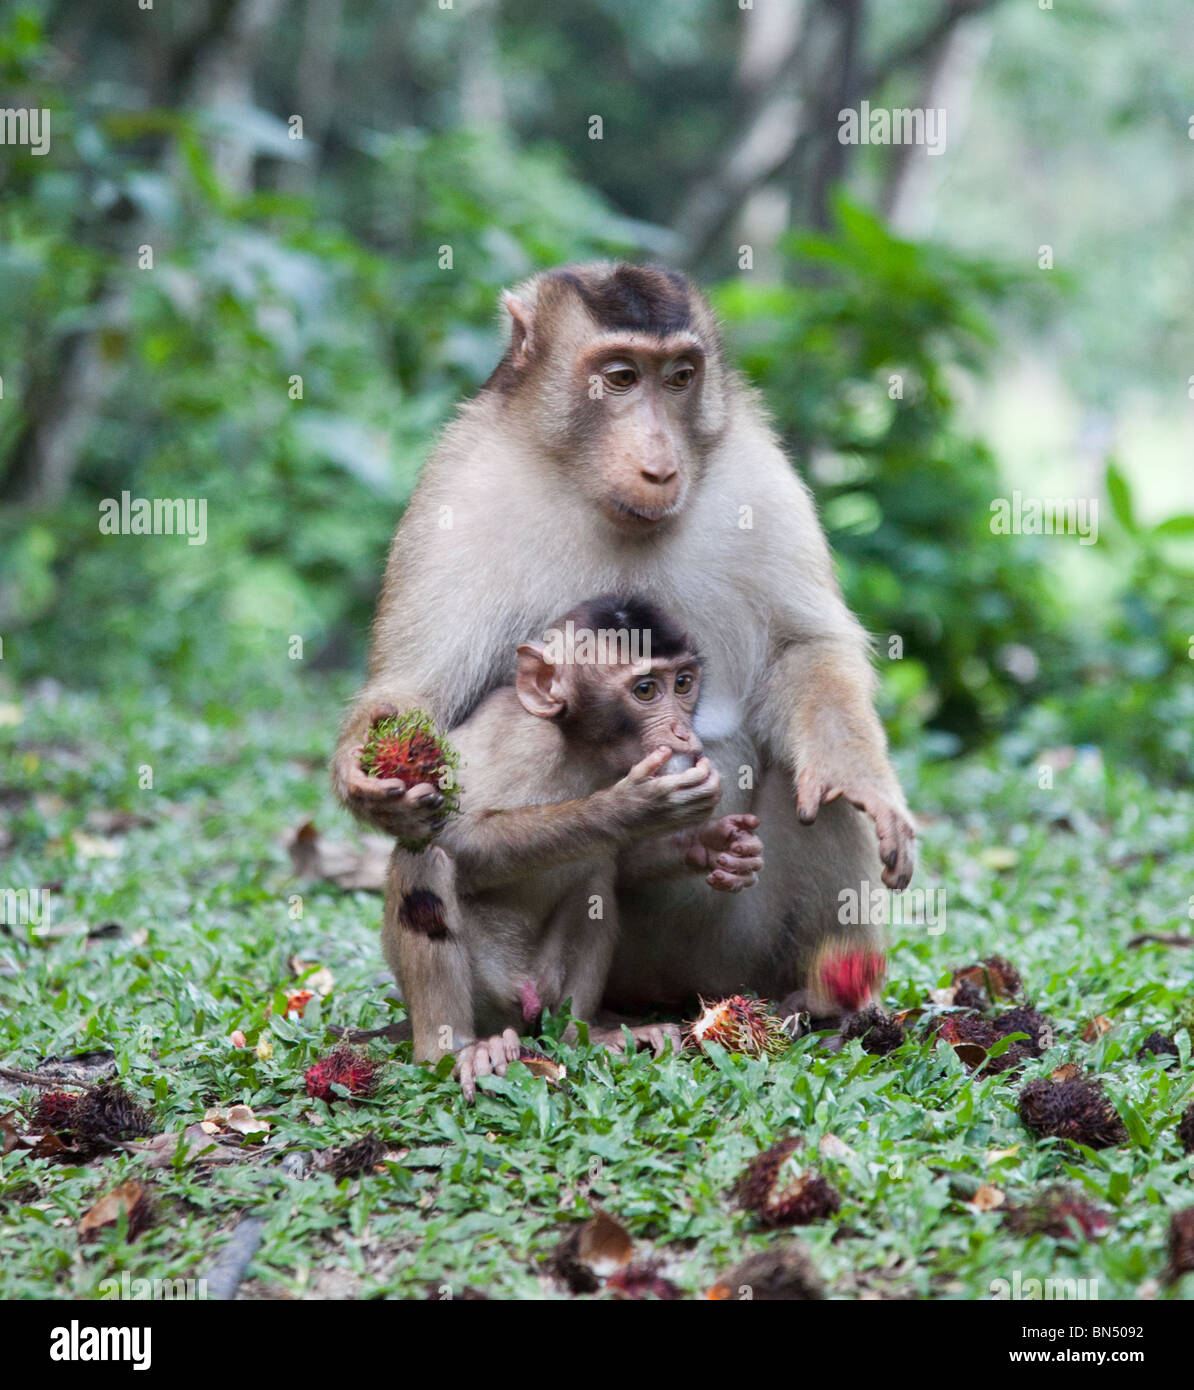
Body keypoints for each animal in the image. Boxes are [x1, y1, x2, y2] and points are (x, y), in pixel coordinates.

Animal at [334, 261, 915, 1024]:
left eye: (679, 378)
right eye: (619, 377)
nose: (661, 463)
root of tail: (679, 994)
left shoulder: (758, 475)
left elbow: (804, 649)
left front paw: (856, 773)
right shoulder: (457, 488)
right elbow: (416, 689)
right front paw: (367, 775)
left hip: (740, 952)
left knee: (812, 780)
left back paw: (827, 994)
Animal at [380, 595, 764, 1099]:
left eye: (683, 683)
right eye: (645, 691)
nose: (684, 733)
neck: (579, 744)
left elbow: (621, 862)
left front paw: (714, 845)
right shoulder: (510, 739)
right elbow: (448, 834)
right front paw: (631, 808)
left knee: (597, 871)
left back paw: (581, 1037)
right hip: (488, 994)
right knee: (424, 863)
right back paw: (454, 1050)